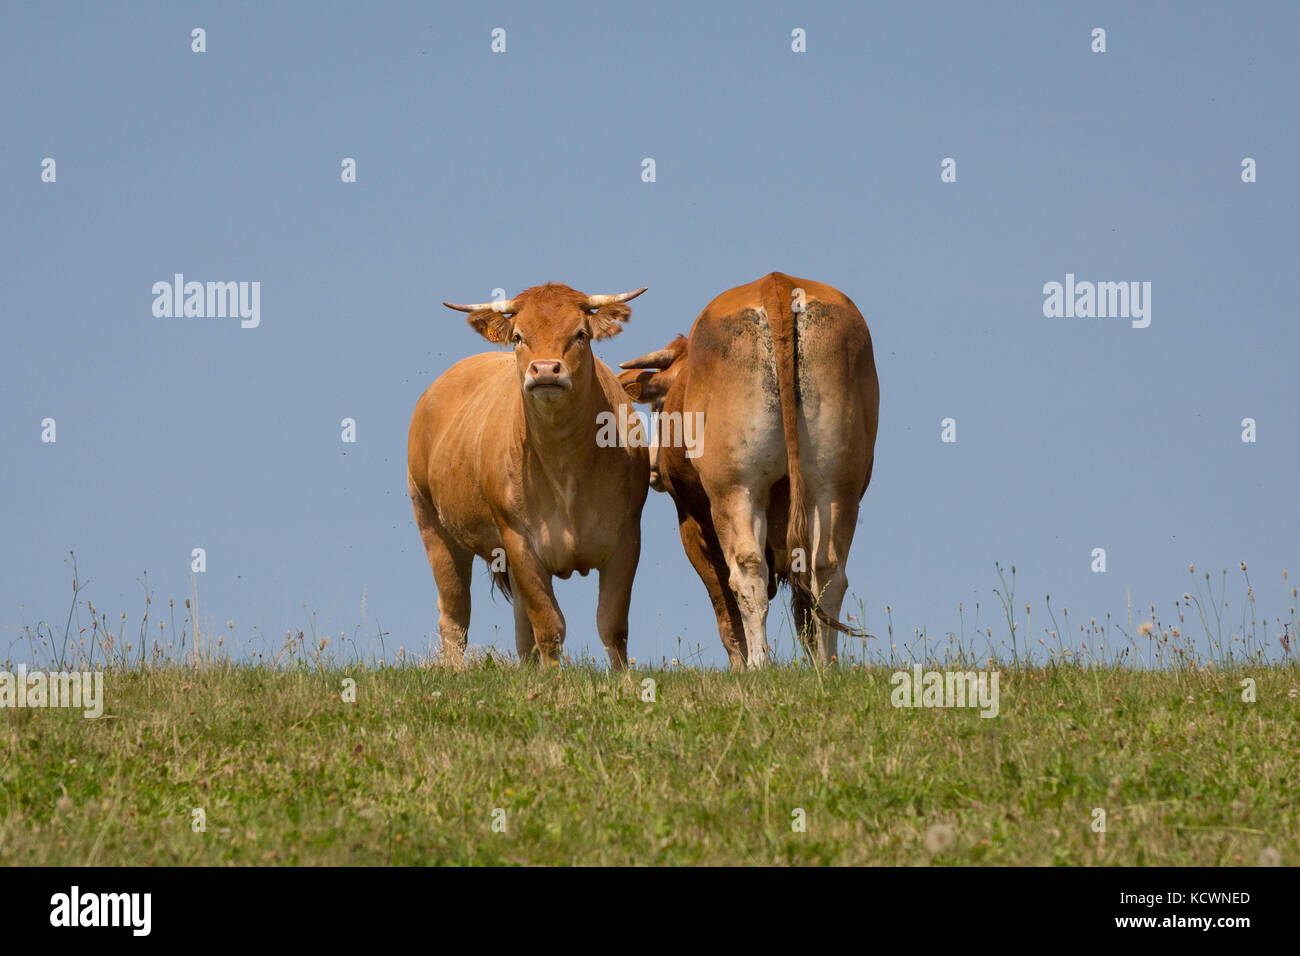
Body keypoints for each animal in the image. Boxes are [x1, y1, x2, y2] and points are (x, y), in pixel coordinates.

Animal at [407, 283, 651, 668]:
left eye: (580, 334)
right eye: (518, 336)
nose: (546, 370)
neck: (566, 466)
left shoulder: (627, 539)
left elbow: (612, 625)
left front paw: (622, 677)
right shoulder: (520, 541)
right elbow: (550, 626)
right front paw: (554, 677)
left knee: (522, 629)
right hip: (433, 524)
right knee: (455, 613)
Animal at [617, 272, 879, 670]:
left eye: (658, 407)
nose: (651, 468)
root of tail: (776, 284)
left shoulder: (692, 524)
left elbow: (725, 607)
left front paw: (741, 665)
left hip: (735, 489)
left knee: (748, 573)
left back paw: (759, 665)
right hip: (837, 487)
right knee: (827, 573)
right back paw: (828, 665)